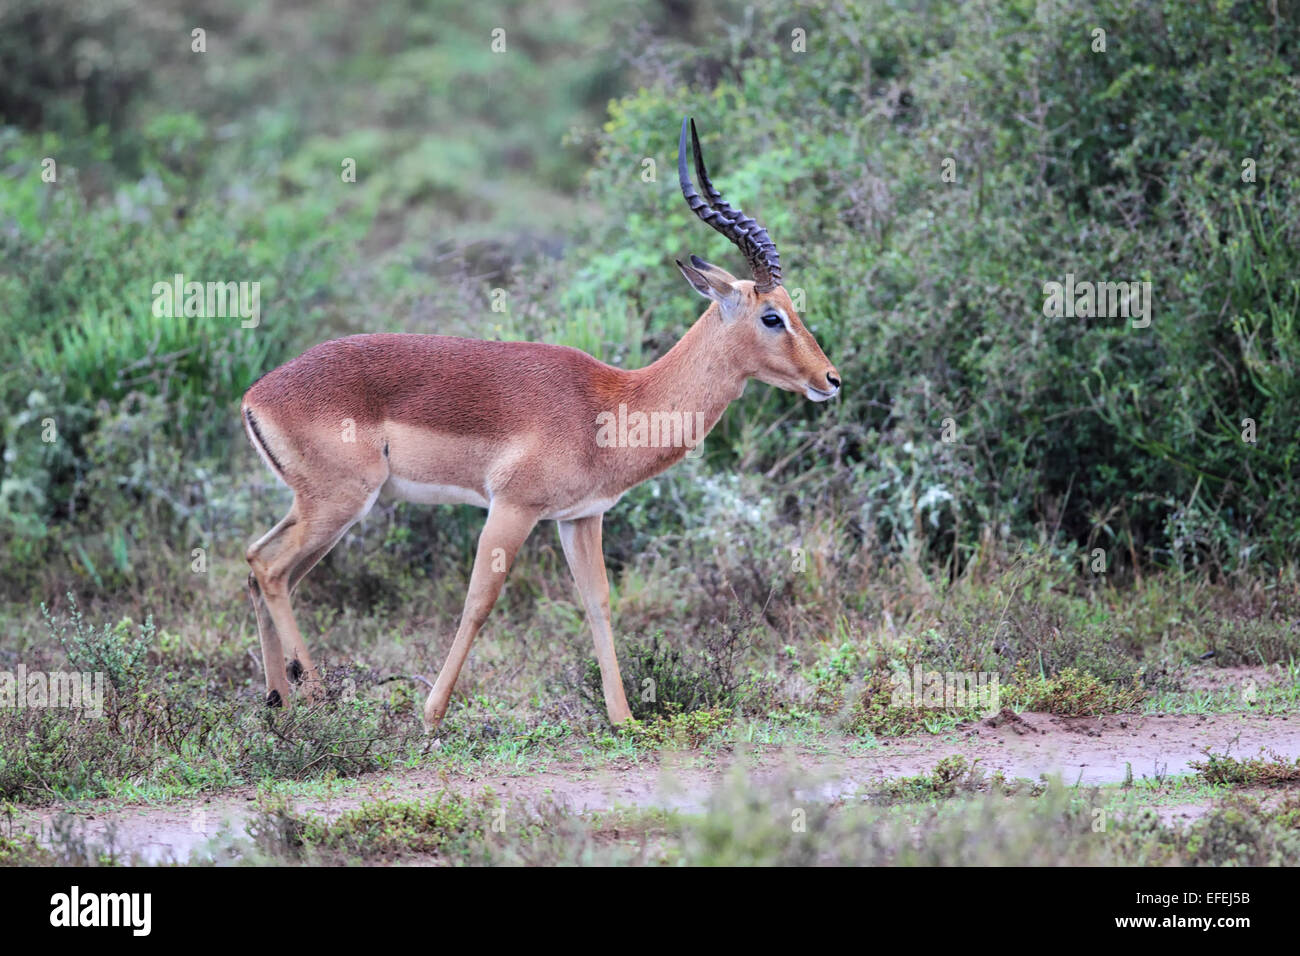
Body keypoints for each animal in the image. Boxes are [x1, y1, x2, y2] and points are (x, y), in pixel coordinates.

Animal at [242, 118, 841, 729]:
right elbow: (479, 601)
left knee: (259, 564)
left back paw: (279, 704)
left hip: (320, 507)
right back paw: (317, 700)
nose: (831, 378)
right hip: (340, 503)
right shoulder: (512, 507)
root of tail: (257, 393)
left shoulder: (580, 517)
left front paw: (623, 719)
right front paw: (431, 716)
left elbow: (598, 603)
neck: (613, 404)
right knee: (271, 570)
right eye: (772, 316)